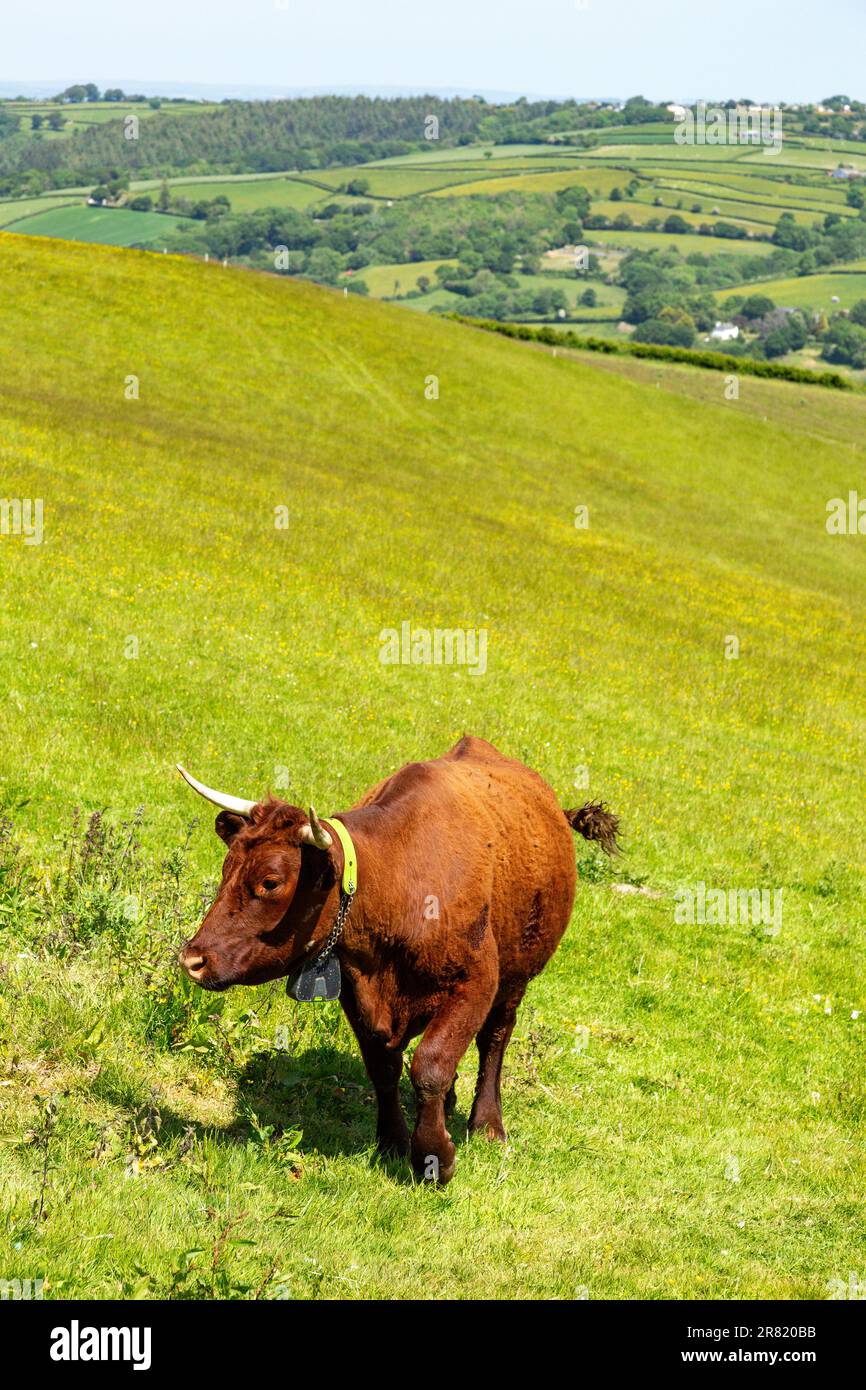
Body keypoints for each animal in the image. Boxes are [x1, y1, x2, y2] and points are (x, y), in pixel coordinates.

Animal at [178, 736, 619, 1183]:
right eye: (228, 866)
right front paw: (391, 1141)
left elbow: (430, 1066)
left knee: (495, 1036)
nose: (192, 958)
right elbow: (383, 1068)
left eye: (271, 882)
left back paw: (487, 1123)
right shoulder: (356, 993)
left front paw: (434, 1156)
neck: (398, 882)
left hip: (517, 974)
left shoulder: (476, 982)